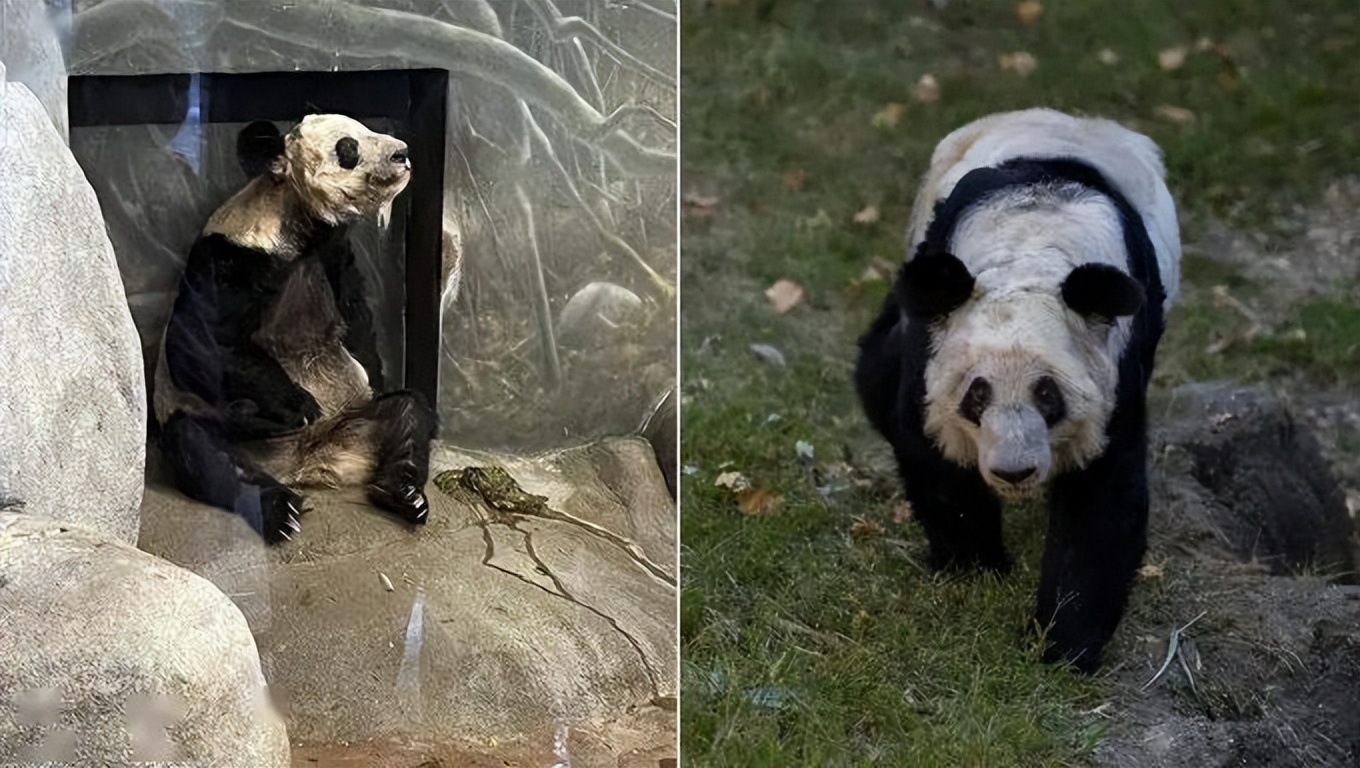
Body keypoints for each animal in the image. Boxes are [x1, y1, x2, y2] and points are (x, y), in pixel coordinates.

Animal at [154, 114, 438, 544]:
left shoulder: (333, 256)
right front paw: (299, 405)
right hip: (230, 432)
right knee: (206, 451)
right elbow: (198, 343)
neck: (298, 224)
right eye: (348, 148)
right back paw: (279, 510)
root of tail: (306, 462)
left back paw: (404, 493)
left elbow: (359, 322)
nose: (402, 153)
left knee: (409, 412)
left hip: (355, 420)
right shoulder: (233, 257)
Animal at [855, 108, 1181, 671]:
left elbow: (1101, 498)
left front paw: (1063, 646)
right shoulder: (937, 340)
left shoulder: (1118, 364)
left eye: (1048, 395)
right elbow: (930, 446)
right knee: (877, 368)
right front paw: (974, 566)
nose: (1014, 472)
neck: (1031, 250)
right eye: (978, 395)